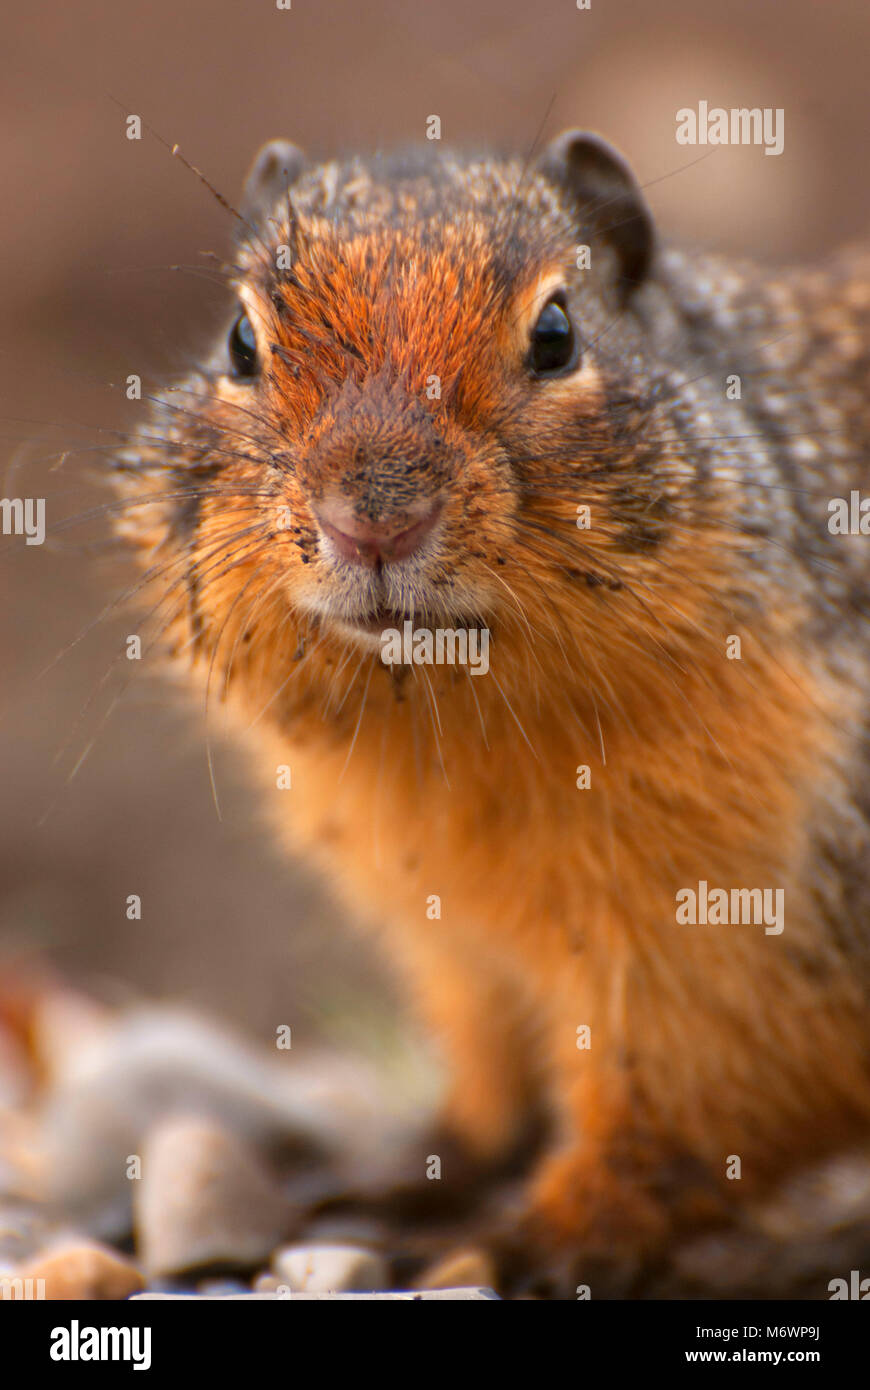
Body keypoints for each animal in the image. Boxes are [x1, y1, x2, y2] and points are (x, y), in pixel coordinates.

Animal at [114, 130, 870, 1293]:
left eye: (557, 334)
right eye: (241, 340)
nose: (374, 515)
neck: (451, 731)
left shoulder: (738, 938)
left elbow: (684, 1114)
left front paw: (525, 1239)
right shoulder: (456, 946)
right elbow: (493, 1075)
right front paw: (412, 1175)